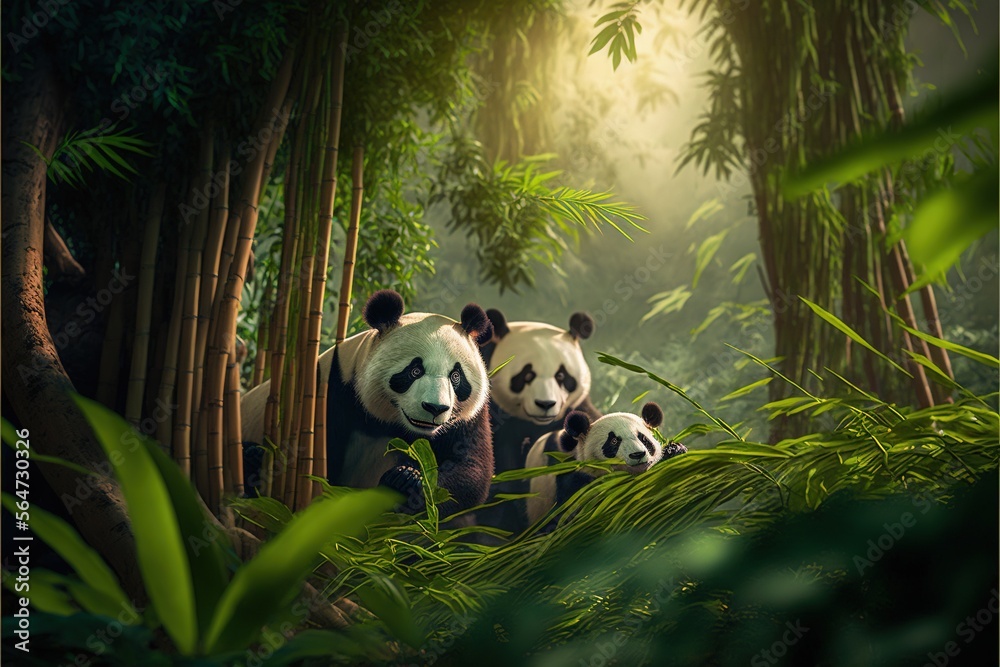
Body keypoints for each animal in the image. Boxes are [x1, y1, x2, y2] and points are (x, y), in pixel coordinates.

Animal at [241, 290, 494, 514]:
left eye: (456, 376)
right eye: (414, 370)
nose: (435, 408)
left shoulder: (468, 418)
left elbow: (469, 470)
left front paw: (408, 479)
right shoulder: (329, 394)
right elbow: (314, 475)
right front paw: (400, 480)